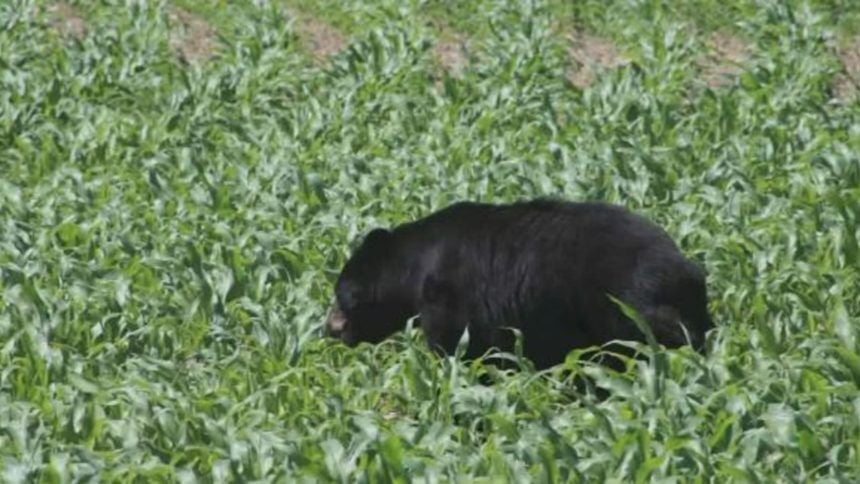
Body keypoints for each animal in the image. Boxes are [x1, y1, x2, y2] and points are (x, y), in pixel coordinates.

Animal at [326, 198, 713, 370]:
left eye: (342, 296)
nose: (328, 328)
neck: (415, 267)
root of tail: (687, 271)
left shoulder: (450, 297)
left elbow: (453, 342)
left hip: (625, 307)